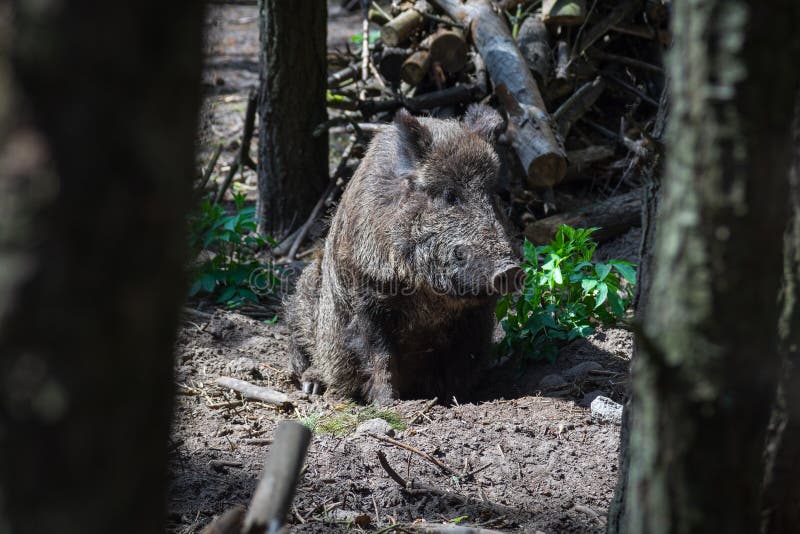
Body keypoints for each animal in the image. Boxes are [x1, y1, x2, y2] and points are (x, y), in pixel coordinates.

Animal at [284, 104, 523, 404]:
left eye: (493, 194)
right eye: (450, 195)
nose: (510, 270)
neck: (429, 295)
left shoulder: (477, 314)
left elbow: (463, 360)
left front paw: (457, 399)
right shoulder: (367, 293)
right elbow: (380, 355)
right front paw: (388, 403)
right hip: (304, 294)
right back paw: (312, 386)